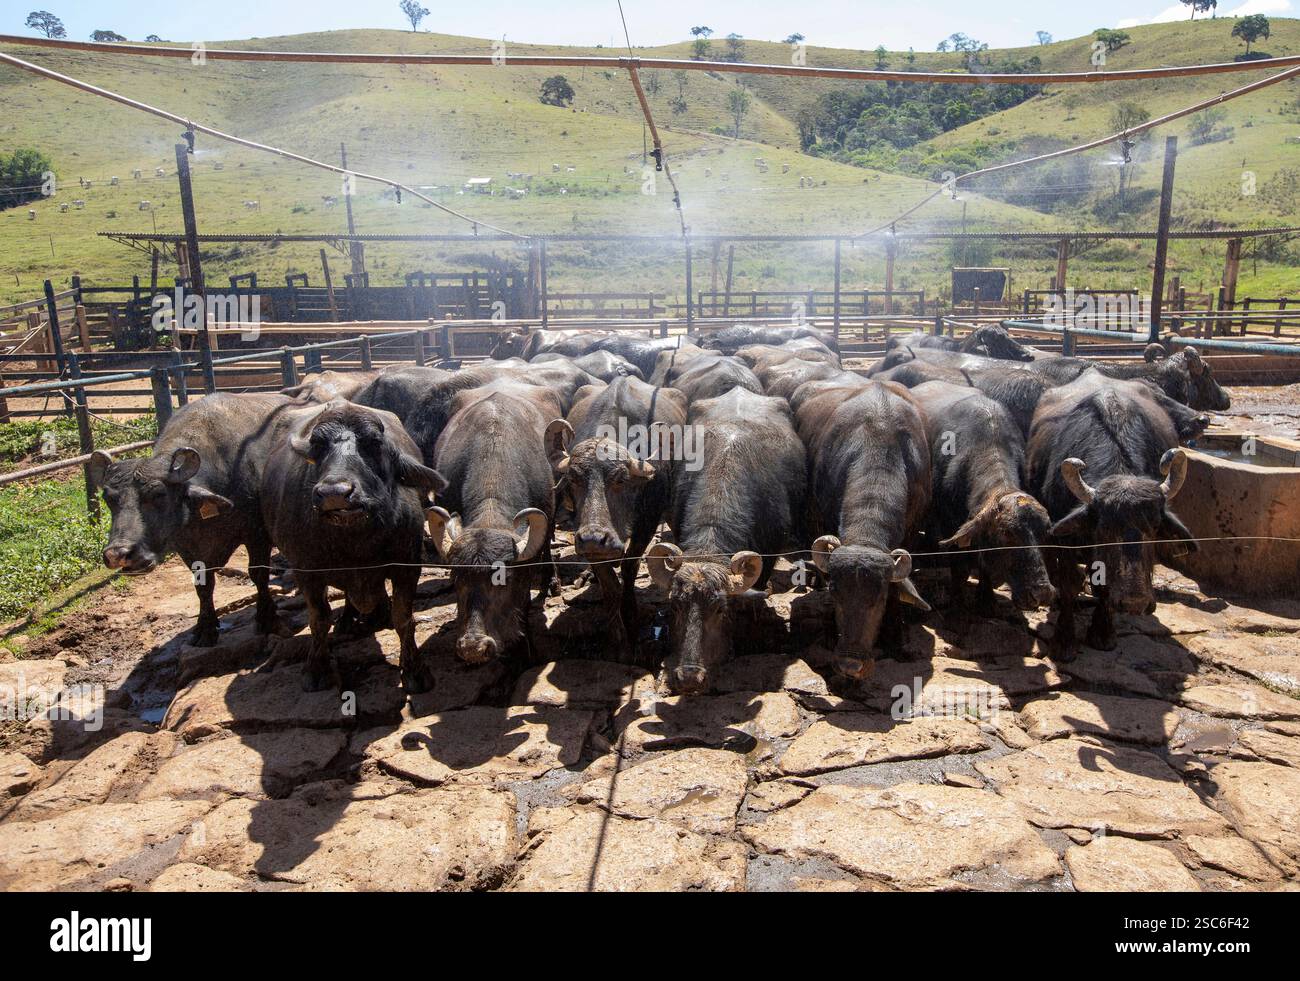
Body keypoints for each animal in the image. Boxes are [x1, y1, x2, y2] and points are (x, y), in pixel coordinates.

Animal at [89, 394, 302, 647]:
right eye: (109, 498)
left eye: (158, 494)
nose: (118, 554)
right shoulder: (186, 546)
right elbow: (203, 584)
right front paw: (205, 629)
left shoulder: (256, 534)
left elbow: (258, 574)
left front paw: (268, 619)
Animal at [260, 401, 448, 692]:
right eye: (318, 445)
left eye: (373, 443)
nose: (335, 493)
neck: (355, 540)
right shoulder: (306, 571)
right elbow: (319, 619)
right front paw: (317, 668)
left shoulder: (407, 566)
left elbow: (403, 617)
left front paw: (415, 670)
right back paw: (350, 620)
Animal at [546, 376, 688, 658]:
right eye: (574, 479)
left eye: (621, 479)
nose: (594, 538)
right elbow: (609, 583)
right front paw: (617, 636)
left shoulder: (647, 523)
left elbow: (630, 566)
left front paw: (631, 614)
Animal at [909, 381, 1055, 612]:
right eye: (1007, 534)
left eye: (1045, 532)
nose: (1040, 593)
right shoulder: (949, 522)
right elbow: (960, 566)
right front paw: (958, 604)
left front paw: (986, 600)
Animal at [1027, 372, 1198, 656]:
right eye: (1105, 528)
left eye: (1154, 527)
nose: (1134, 602)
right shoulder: (1063, 539)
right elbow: (1069, 583)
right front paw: (1064, 640)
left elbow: (1103, 586)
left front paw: (1103, 632)